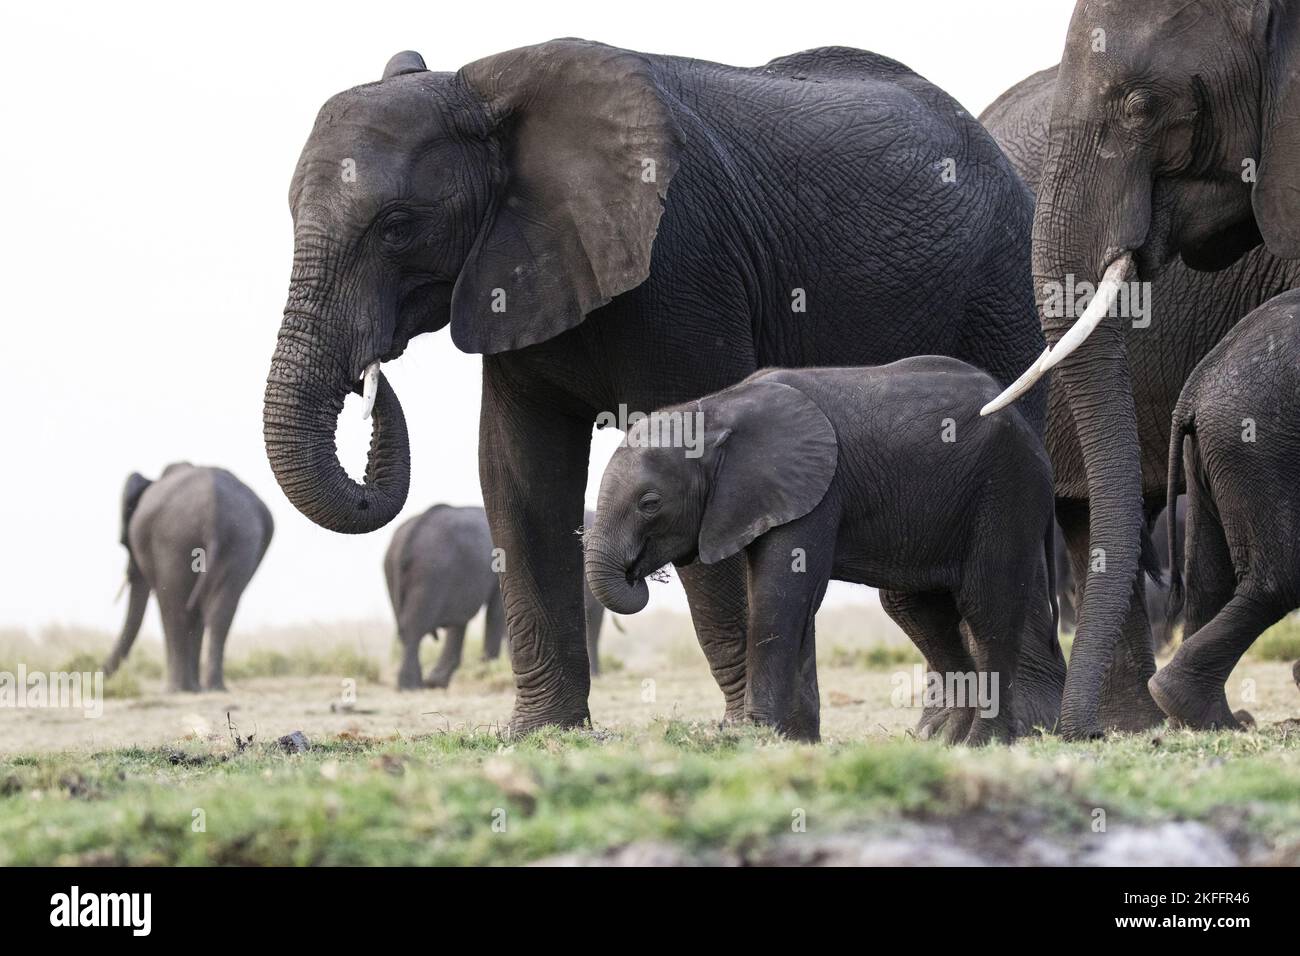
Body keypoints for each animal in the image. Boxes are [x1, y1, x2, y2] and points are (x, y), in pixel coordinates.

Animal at [104, 463, 274, 692]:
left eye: (124, 543)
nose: (101, 674)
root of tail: (213, 508)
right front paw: (196, 690)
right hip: (241, 540)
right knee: (220, 612)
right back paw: (214, 688)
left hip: (172, 538)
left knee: (173, 608)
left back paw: (175, 690)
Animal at [584, 358, 1062, 744]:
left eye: (650, 504)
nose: (639, 574)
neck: (711, 412)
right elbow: (791, 599)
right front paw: (796, 741)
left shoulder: (815, 489)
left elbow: (780, 597)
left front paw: (758, 737)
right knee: (918, 612)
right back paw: (947, 744)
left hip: (1006, 489)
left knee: (988, 606)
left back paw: (983, 744)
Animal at [1156, 291, 1300, 728]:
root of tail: (1195, 389)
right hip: (1258, 445)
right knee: (1279, 580)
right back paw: (1213, 718)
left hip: (1209, 454)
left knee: (1207, 581)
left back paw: (1189, 720)